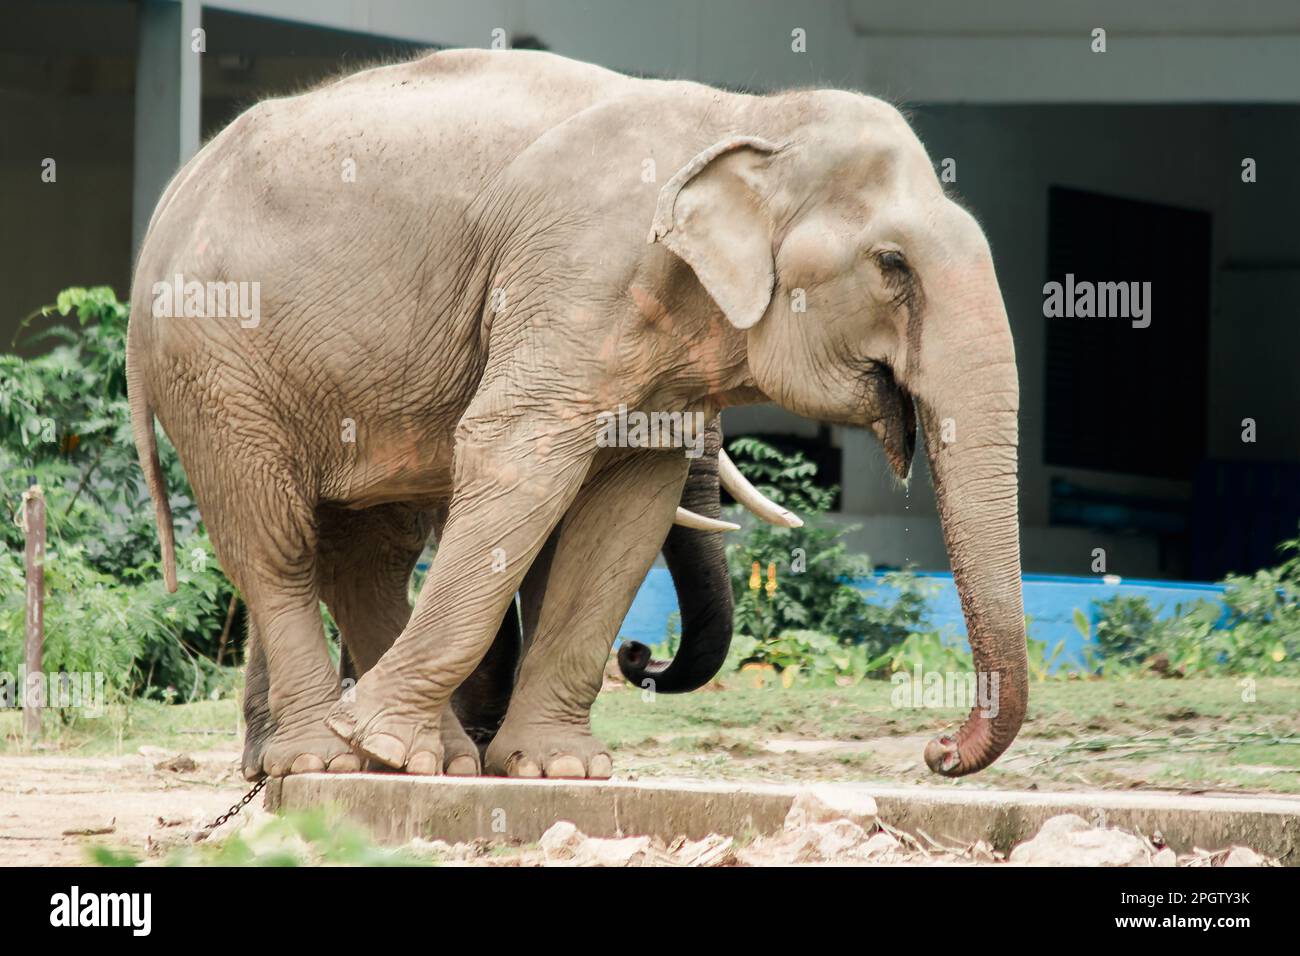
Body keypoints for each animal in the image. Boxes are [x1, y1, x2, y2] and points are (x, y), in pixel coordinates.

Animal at [127, 47, 1026, 781]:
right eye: (892, 264)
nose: (940, 750)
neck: (748, 116)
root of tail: (165, 208)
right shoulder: (579, 272)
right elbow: (513, 460)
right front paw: (395, 743)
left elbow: (626, 508)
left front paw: (554, 769)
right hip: (217, 364)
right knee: (273, 541)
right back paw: (337, 756)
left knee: (365, 545)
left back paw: (415, 757)